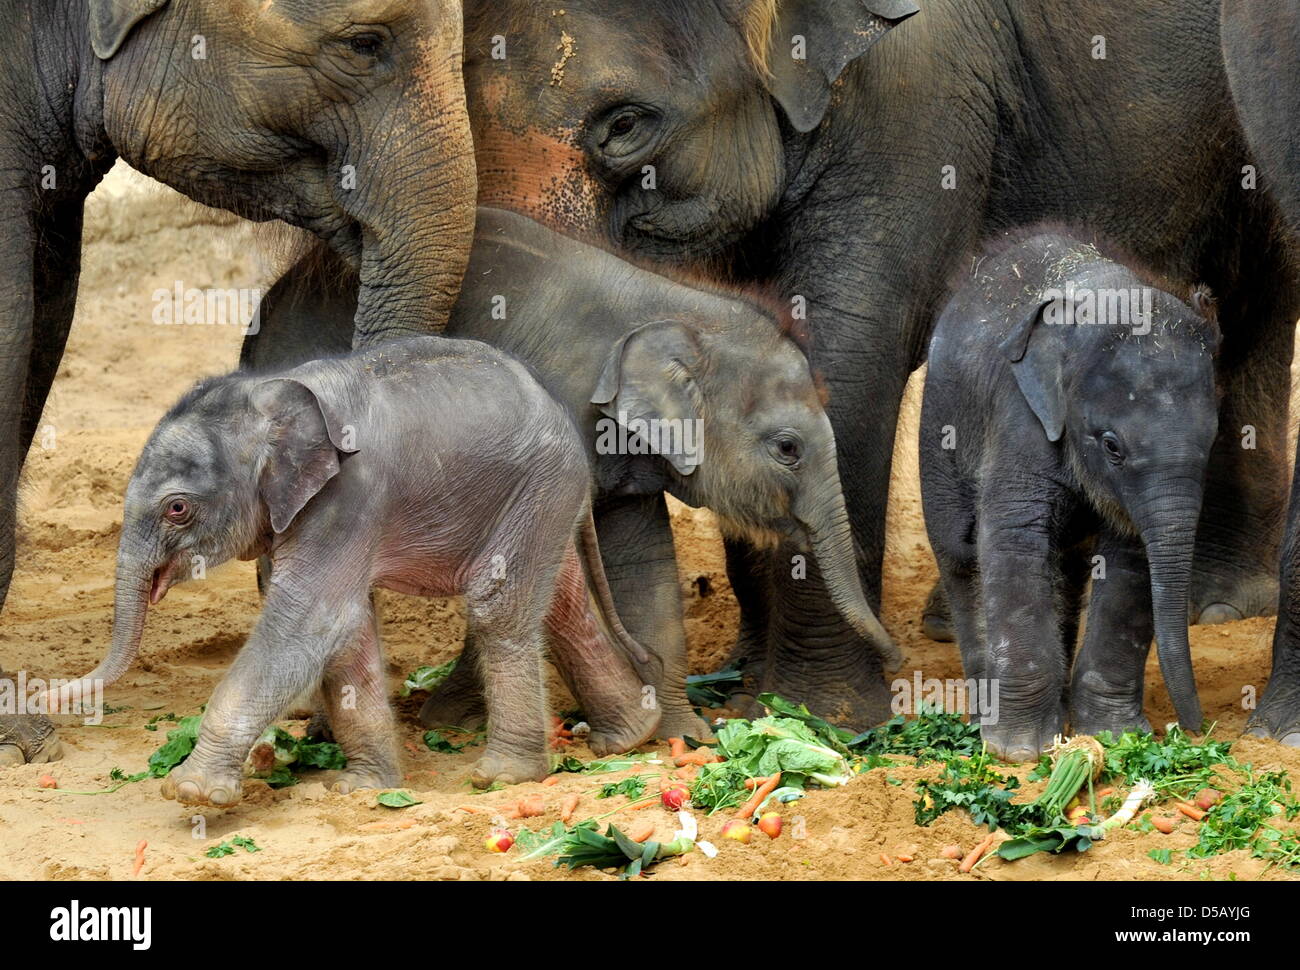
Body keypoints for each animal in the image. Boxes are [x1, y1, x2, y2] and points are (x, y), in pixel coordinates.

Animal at [56, 336, 659, 803]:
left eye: (177, 508)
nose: (47, 696)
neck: (272, 391)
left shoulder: (347, 498)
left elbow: (307, 625)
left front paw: (191, 792)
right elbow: (346, 632)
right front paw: (362, 789)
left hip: (537, 484)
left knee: (500, 607)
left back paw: (506, 776)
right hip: (544, 497)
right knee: (562, 606)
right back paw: (629, 738)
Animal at [919, 230, 1221, 760]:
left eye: (1213, 441)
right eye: (1112, 446)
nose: (1197, 730)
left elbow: (1130, 556)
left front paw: (1115, 737)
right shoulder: (1020, 418)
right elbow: (1014, 540)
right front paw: (1019, 752)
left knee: (1066, 570)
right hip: (937, 434)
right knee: (960, 556)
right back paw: (983, 722)